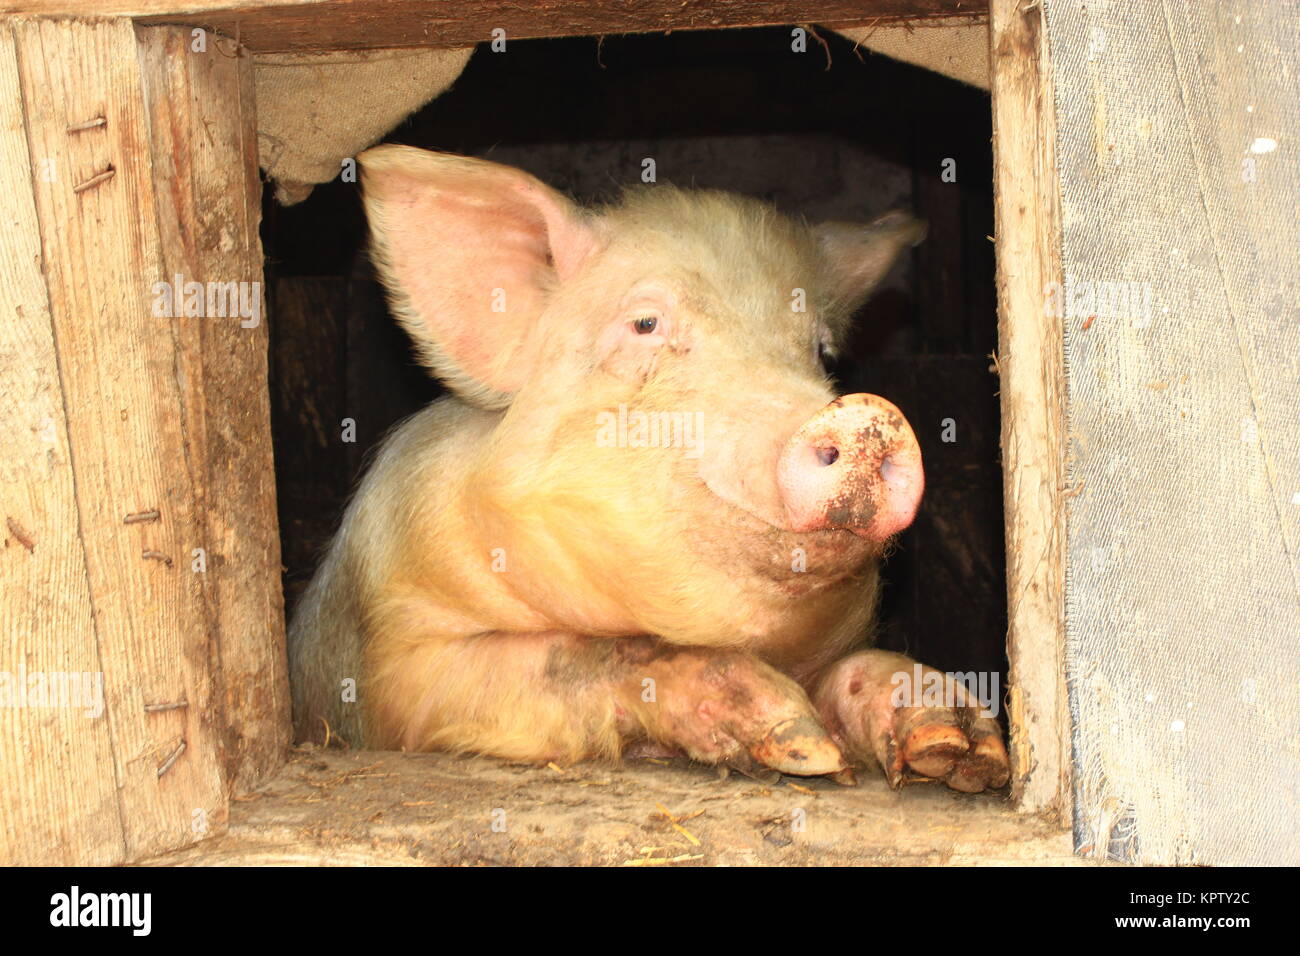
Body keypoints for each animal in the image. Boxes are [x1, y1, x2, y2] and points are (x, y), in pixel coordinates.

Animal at [287, 144, 1009, 793]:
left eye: (823, 351)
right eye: (644, 324)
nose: (865, 416)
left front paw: (962, 746)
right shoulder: (394, 669)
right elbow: (567, 655)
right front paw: (793, 738)